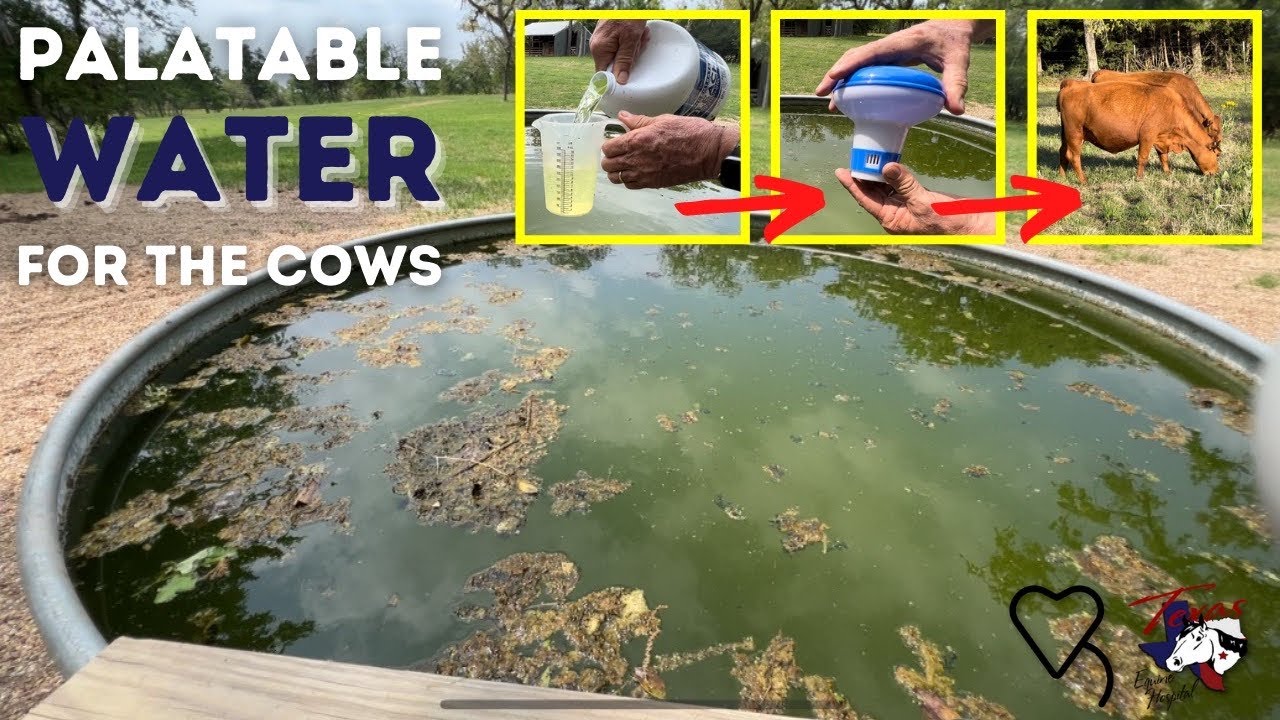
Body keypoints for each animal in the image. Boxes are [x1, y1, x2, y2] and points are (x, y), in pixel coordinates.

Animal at [1055, 78, 1219, 184]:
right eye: (1217, 154)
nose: (1215, 173)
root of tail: (1072, 83)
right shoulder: (1147, 135)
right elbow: (1143, 158)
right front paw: (1139, 178)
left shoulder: (1161, 138)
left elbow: (1163, 157)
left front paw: (1167, 172)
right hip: (1075, 132)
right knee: (1074, 156)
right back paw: (1083, 181)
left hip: (1066, 133)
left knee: (1062, 151)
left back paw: (1062, 177)